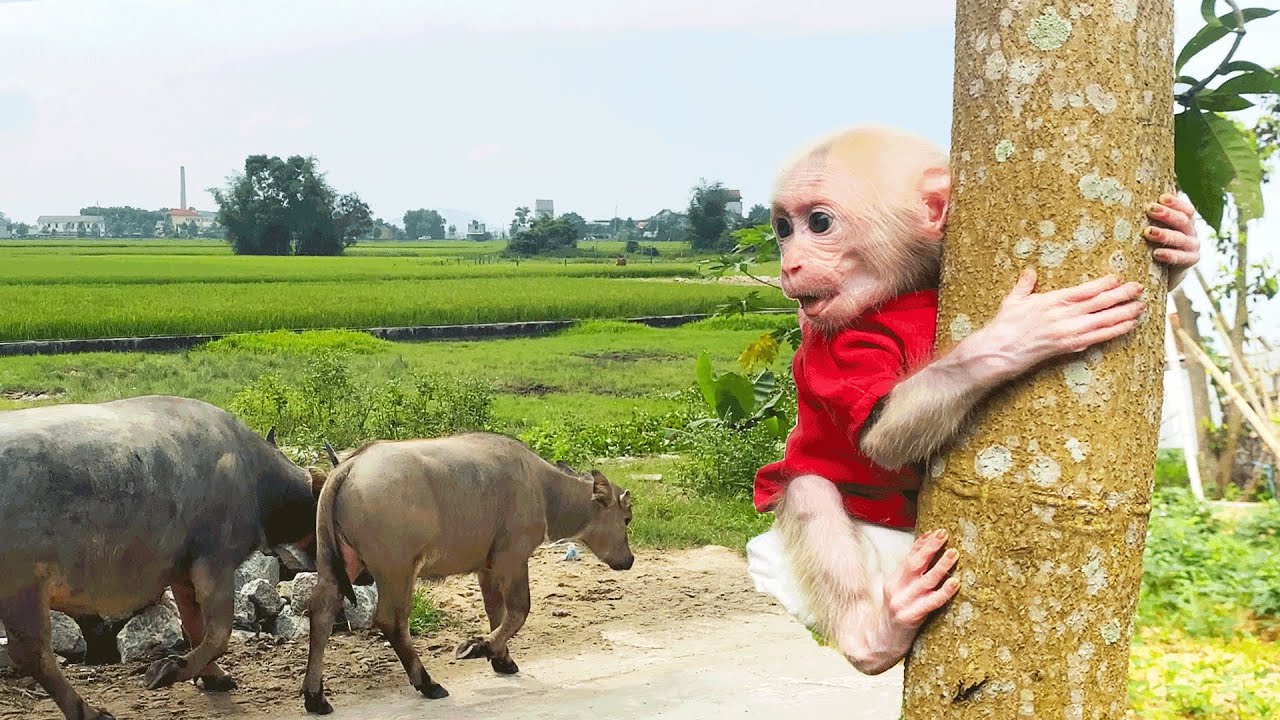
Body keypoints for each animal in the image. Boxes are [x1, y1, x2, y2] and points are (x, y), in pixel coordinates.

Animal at [744, 125, 1200, 675]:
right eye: (783, 228)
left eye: (817, 223)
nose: (790, 263)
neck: (902, 292)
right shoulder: (833, 349)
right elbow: (881, 436)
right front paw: (1013, 338)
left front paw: (1182, 241)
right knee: (808, 489)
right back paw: (874, 634)